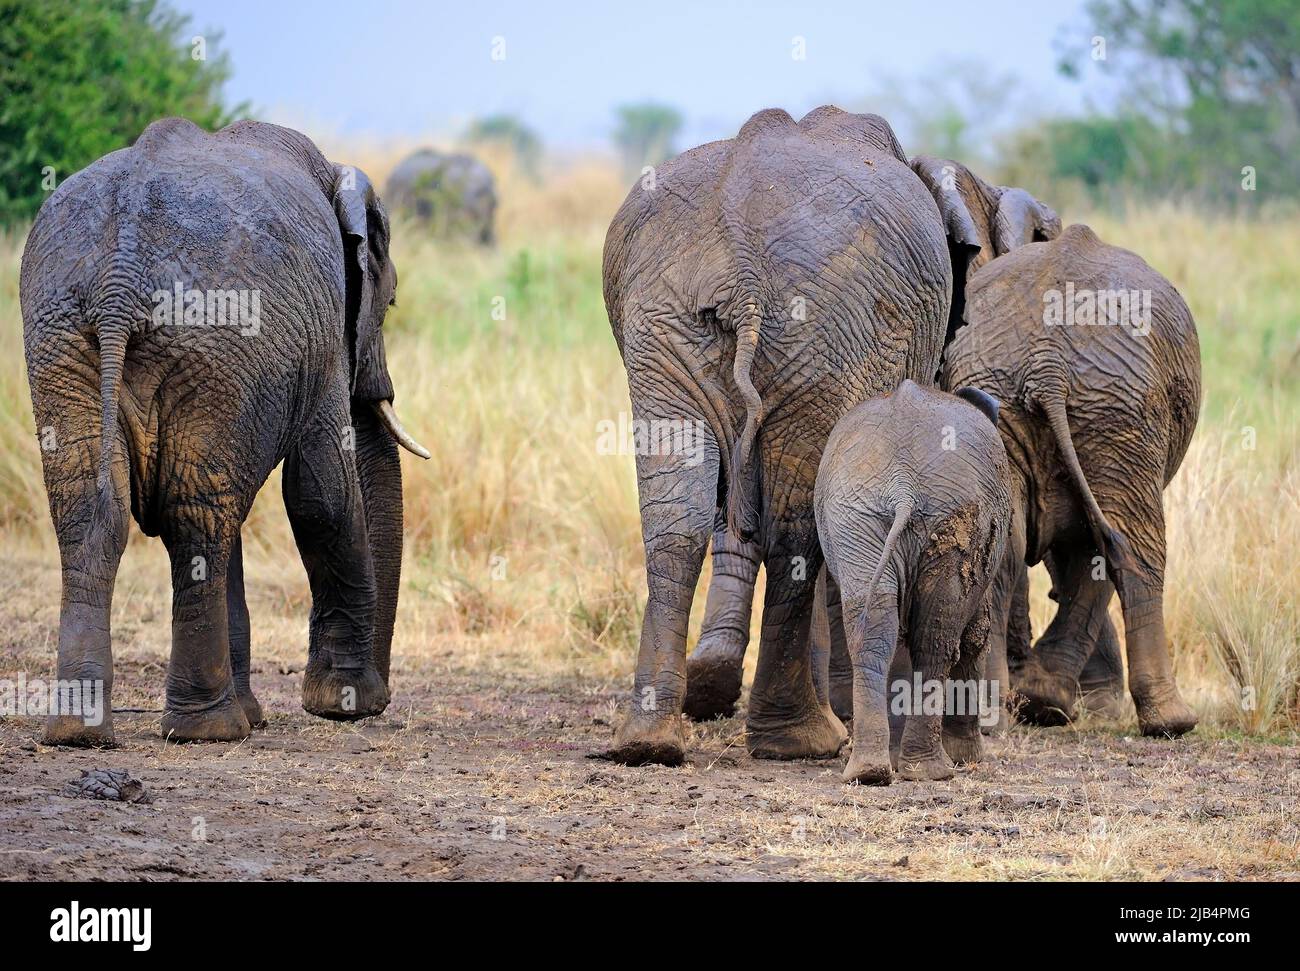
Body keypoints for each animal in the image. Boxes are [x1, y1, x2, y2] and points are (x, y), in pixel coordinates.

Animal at [21, 117, 429, 746]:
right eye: (389, 303)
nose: (381, 700)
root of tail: (118, 278)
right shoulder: (321, 339)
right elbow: (322, 491)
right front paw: (344, 706)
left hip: (70, 341)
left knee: (100, 509)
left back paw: (80, 733)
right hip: (210, 336)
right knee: (197, 515)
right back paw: (209, 730)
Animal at [600, 104, 991, 767]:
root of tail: (735, 252)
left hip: (668, 323)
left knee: (677, 520)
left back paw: (647, 744)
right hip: (823, 328)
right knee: (792, 529)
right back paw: (801, 740)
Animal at [815, 381, 1010, 783]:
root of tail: (902, 485)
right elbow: (975, 634)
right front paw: (968, 757)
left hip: (854, 516)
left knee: (877, 627)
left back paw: (871, 771)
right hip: (950, 517)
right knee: (937, 639)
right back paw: (931, 771)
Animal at [940, 222, 1201, 738]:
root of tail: (1049, 367)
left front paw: (1040, 701)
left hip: (1010, 404)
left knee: (1009, 544)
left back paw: (996, 714)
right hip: (1122, 410)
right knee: (1135, 546)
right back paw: (1172, 721)